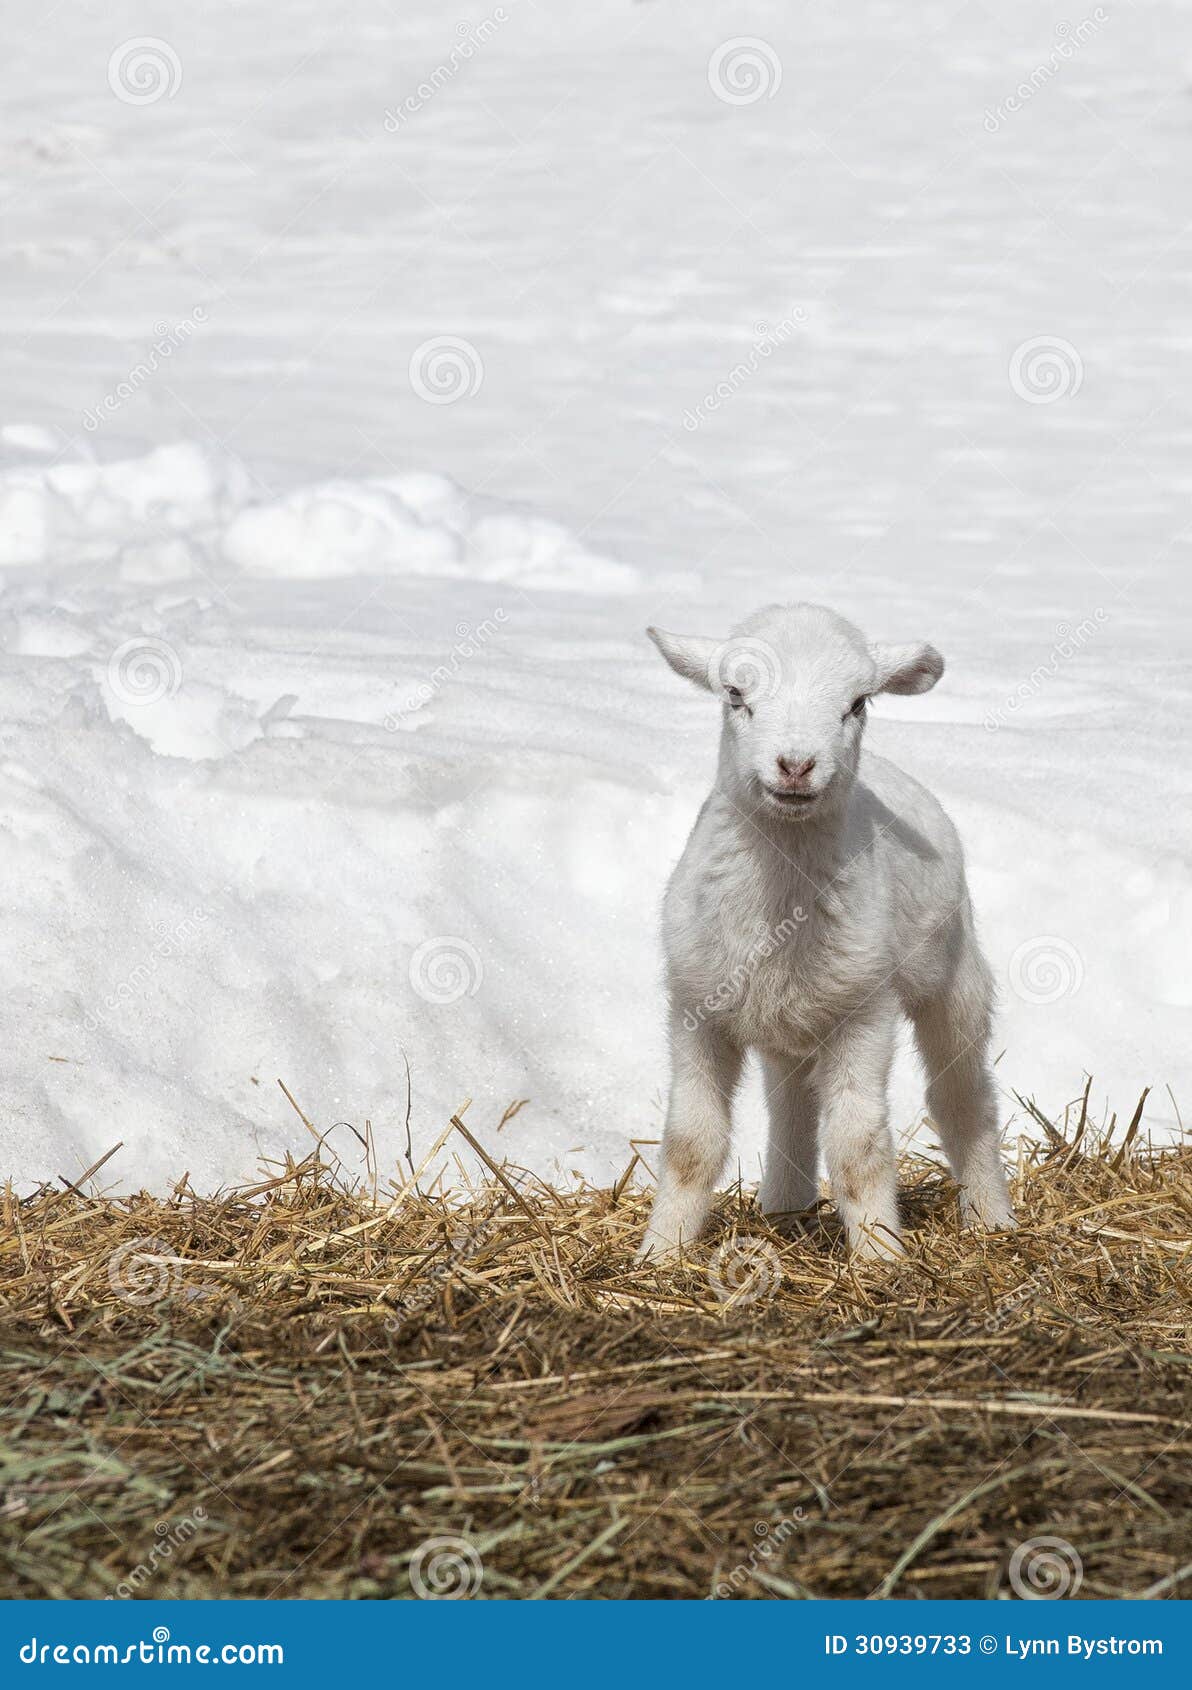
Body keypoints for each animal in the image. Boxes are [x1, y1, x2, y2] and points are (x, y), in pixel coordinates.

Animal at [638, 602, 1015, 1264]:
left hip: (955, 973)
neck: (780, 908)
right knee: (792, 1102)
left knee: (962, 1096)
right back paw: (784, 1207)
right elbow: (690, 1142)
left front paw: (881, 1257)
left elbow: (859, 1147)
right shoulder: (695, 1005)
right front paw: (661, 1253)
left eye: (858, 702)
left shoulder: (865, 1009)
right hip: (787, 1020)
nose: (795, 765)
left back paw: (991, 1219)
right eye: (735, 694)